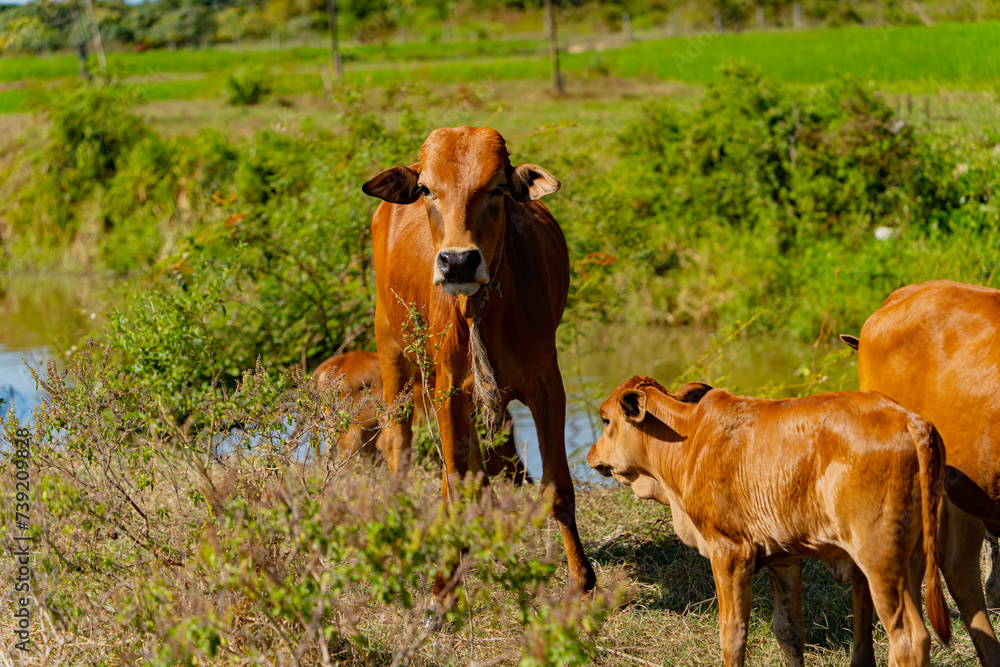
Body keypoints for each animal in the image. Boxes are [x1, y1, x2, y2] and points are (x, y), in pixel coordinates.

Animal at [361, 126, 595, 592]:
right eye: (426, 189)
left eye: (498, 187)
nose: (458, 262)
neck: (481, 312)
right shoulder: (449, 388)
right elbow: (455, 480)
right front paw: (443, 586)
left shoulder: (548, 385)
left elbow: (557, 484)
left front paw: (581, 579)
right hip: (391, 349)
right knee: (399, 442)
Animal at [587, 376, 950, 667]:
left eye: (605, 419)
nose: (590, 454)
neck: (689, 442)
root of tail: (912, 421)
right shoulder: (784, 558)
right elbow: (788, 631)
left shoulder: (729, 551)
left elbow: (732, 634)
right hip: (912, 559)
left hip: (881, 561)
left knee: (910, 639)